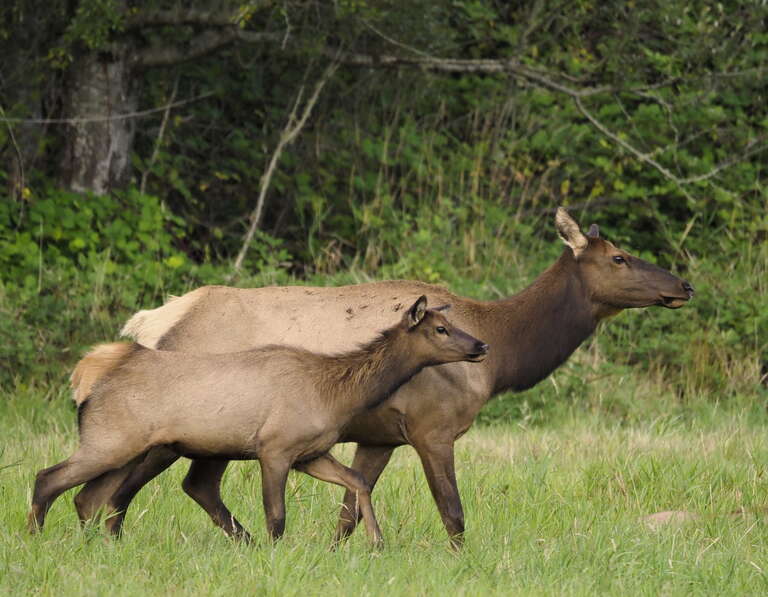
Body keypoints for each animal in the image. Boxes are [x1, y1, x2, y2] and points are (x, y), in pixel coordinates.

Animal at [28, 296, 489, 545]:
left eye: (454, 323)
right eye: (441, 329)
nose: (481, 345)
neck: (335, 393)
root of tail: (86, 375)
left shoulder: (310, 451)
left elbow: (357, 481)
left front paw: (377, 542)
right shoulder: (274, 446)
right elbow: (277, 516)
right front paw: (274, 554)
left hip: (123, 445)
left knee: (88, 497)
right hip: (110, 438)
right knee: (48, 478)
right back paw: (34, 538)